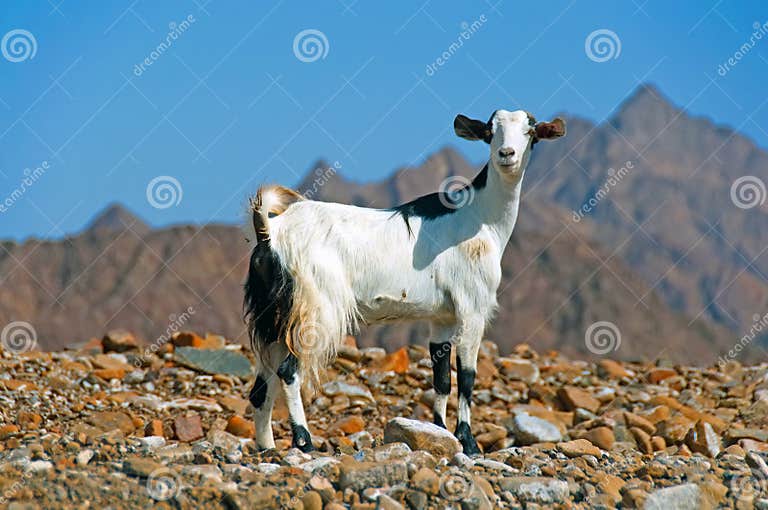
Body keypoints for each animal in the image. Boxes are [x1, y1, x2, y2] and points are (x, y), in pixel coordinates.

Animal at [244, 109, 566, 454]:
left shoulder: (442, 318)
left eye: (530, 131)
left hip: (273, 316)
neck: (480, 219)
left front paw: (440, 432)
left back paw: (268, 447)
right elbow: (467, 376)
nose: (507, 154)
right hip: (316, 306)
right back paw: (304, 442)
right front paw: (468, 442)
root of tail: (271, 232)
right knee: (288, 371)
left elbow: (442, 379)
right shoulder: (473, 308)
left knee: (262, 386)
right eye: (490, 131)